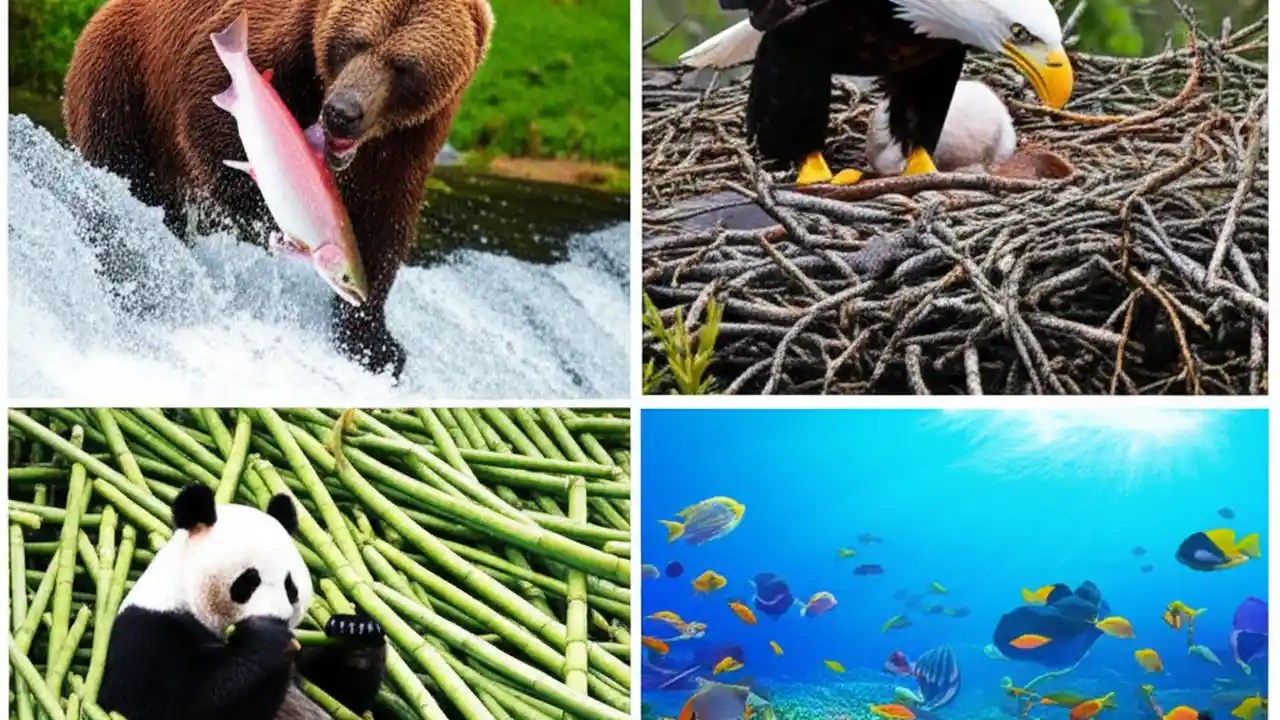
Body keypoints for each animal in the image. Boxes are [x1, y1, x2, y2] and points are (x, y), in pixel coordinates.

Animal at [63, 0, 494, 377]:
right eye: (355, 42)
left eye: (404, 67)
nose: (342, 112)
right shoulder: (277, 38)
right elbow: (210, 101)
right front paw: (265, 214)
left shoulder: (412, 139)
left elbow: (382, 223)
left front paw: (376, 345)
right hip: (122, 79)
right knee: (122, 169)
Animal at [99, 484, 387, 720]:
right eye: (248, 581)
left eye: (290, 587)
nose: (279, 617)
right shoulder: (145, 635)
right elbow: (176, 706)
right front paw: (266, 637)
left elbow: (345, 698)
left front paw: (355, 631)